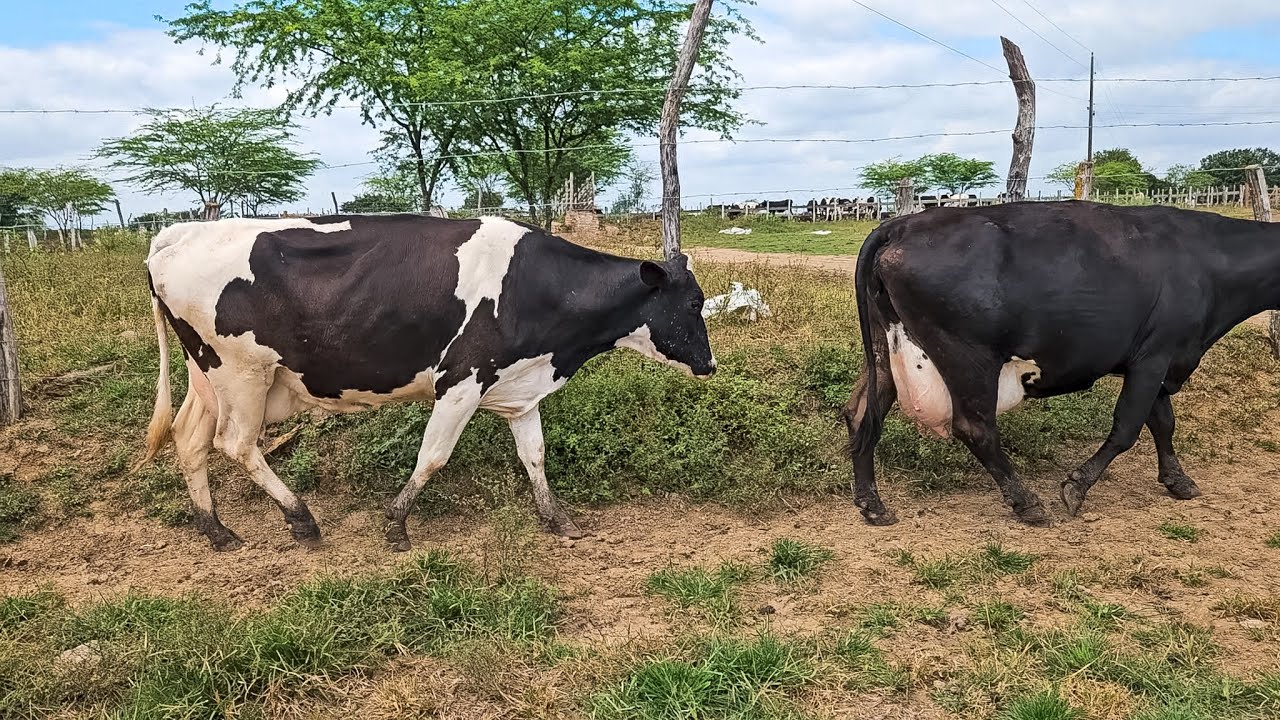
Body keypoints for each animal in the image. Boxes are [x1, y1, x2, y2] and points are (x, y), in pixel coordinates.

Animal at [136, 214, 717, 552]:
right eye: (694, 302)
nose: (710, 365)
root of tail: (176, 232)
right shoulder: (462, 379)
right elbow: (433, 456)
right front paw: (396, 525)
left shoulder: (518, 386)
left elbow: (534, 455)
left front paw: (558, 519)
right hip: (241, 372)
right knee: (235, 443)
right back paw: (301, 520)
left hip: (209, 375)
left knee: (189, 439)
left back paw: (216, 530)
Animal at [841, 200, 1280, 527]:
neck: (1206, 260)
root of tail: (902, 225)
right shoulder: (1155, 356)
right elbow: (1128, 428)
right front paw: (1076, 487)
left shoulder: (1158, 359)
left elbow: (1162, 423)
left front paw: (1177, 480)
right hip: (966, 355)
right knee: (976, 428)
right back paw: (1026, 502)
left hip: (887, 350)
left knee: (860, 412)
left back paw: (872, 504)